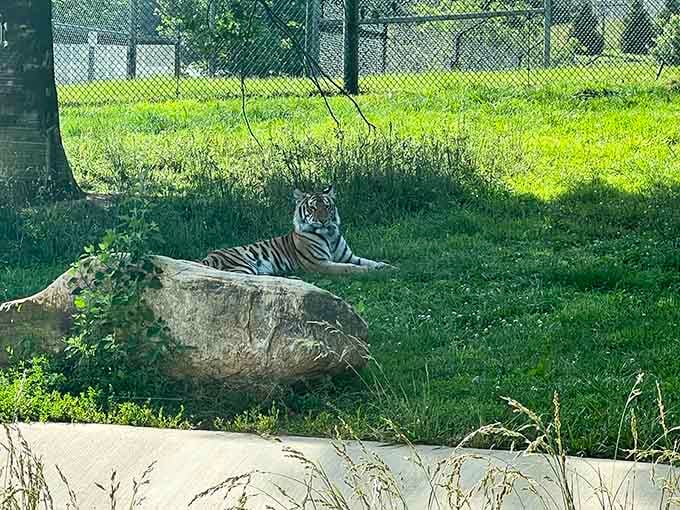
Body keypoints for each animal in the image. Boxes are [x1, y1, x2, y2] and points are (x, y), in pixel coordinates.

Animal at [199, 185, 396, 276]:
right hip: (242, 266)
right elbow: (349, 268)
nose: (323, 220)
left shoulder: (349, 256)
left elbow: (371, 261)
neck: (330, 235)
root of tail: (206, 258)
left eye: (327, 206)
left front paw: (389, 267)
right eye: (313, 208)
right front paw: (367, 271)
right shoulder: (319, 263)